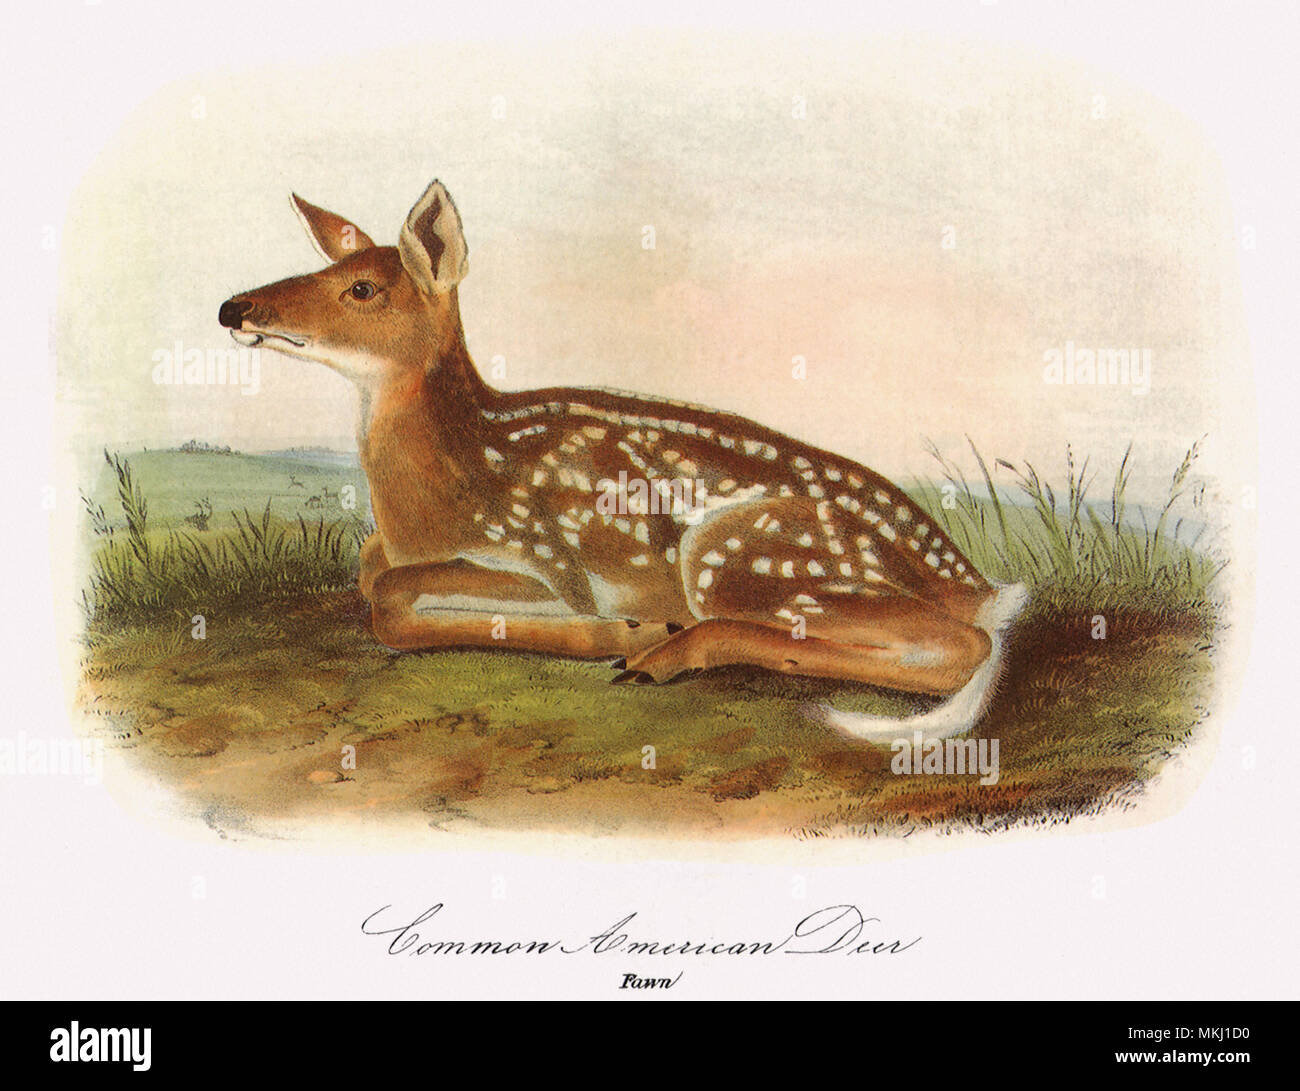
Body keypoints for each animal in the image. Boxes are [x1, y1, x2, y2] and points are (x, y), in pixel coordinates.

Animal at [219, 179, 1028, 739]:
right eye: (324, 271)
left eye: (361, 289)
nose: (235, 308)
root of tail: (971, 581)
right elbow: (368, 567)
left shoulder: (549, 558)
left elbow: (389, 597)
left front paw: (616, 632)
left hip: (739, 555)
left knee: (967, 644)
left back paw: (658, 651)